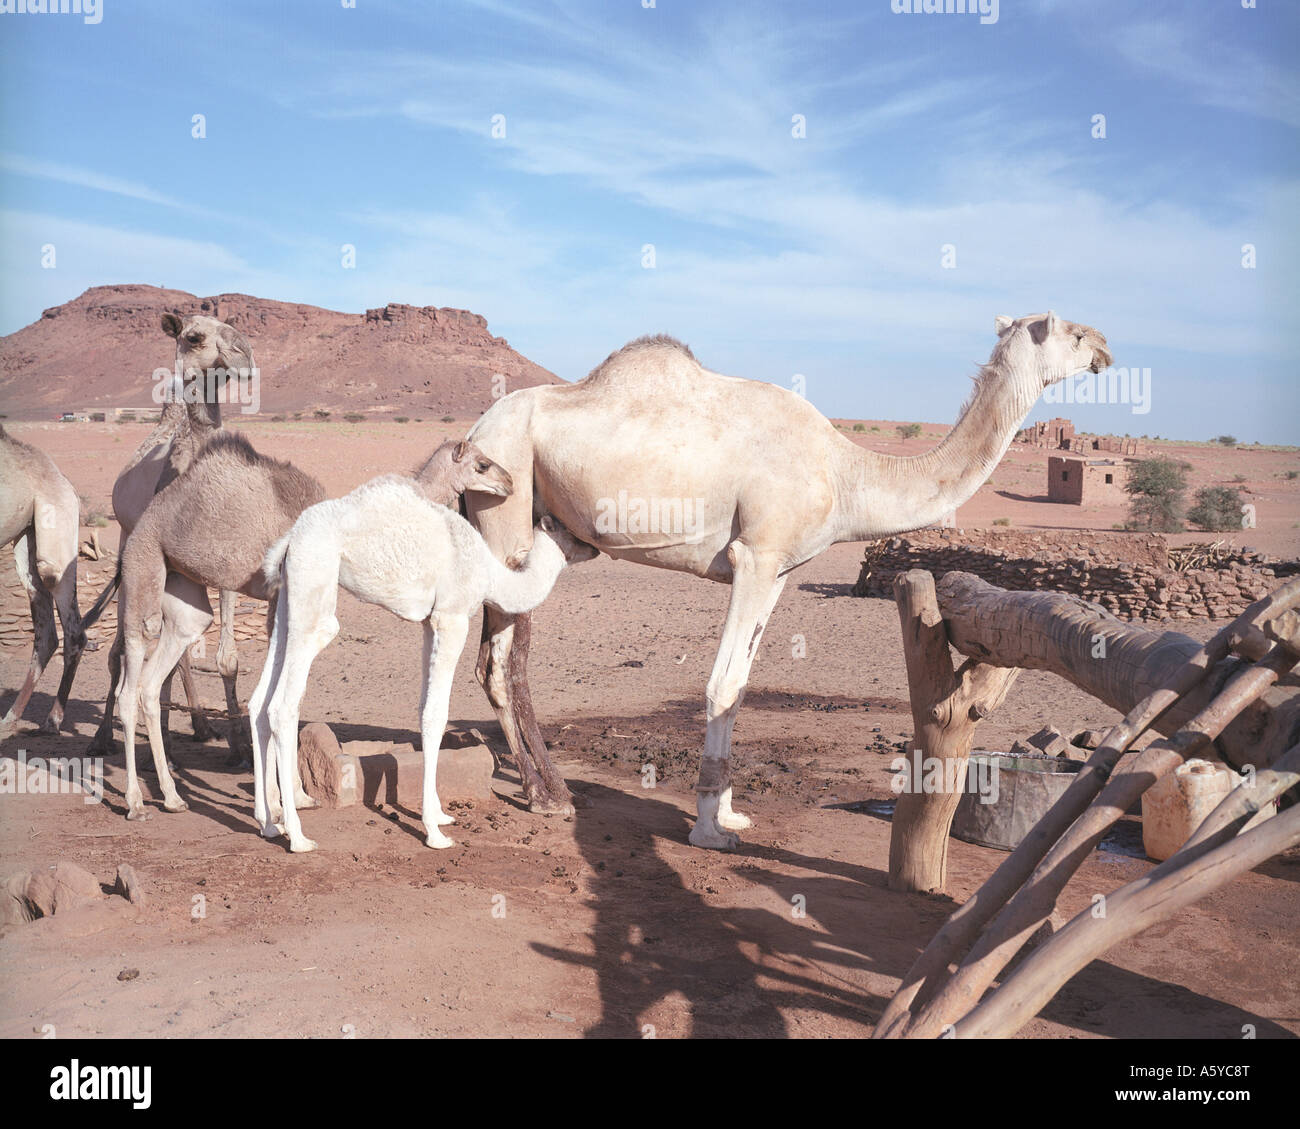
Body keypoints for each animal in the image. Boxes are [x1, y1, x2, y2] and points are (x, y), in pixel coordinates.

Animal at [0, 427, 86, 738]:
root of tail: (66, 482)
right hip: (26, 539)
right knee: (47, 634)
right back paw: (11, 719)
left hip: (56, 530)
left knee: (72, 630)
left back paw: (52, 721)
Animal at [84, 313, 257, 756]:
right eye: (194, 337)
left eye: (232, 327)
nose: (245, 353)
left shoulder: (230, 562)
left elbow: (227, 658)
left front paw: (239, 747)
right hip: (129, 544)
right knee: (123, 649)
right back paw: (105, 735)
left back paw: (197, 726)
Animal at [255, 471, 595, 853]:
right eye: (572, 531)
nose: (595, 547)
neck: (490, 573)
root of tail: (289, 540)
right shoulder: (452, 617)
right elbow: (436, 715)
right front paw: (435, 832)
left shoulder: (430, 623)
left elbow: (422, 708)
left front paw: (441, 815)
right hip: (315, 582)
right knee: (283, 705)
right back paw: (298, 837)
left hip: (288, 598)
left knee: (260, 702)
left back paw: (269, 825)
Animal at [465, 312, 1113, 848]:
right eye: (1071, 331)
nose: (1107, 348)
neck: (847, 473)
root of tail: (474, 431)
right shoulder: (756, 553)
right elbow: (723, 683)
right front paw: (708, 829)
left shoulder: (779, 570)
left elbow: (743, 686)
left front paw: (730, 814)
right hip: (502, 503)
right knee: (497, 660)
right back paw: (548, 796)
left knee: (508, 654)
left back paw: (546, 788)